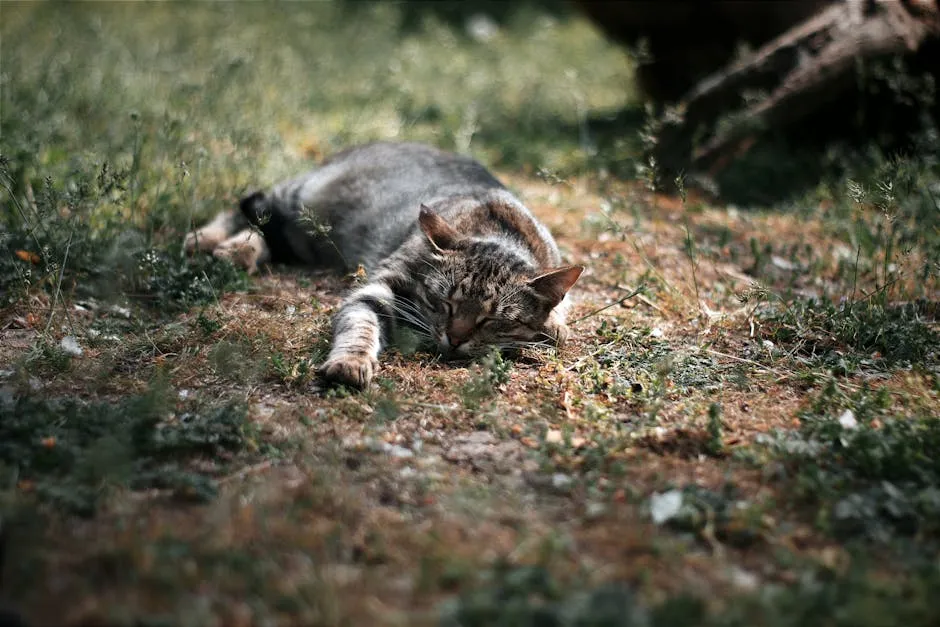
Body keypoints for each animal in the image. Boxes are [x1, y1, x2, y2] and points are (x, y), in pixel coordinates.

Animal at [185, 142, 580, 388]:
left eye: (492, 319)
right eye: (444, 302)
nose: (455, 339)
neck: (499, 230)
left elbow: (559, 322)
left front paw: (552, 324)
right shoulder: (377, 288)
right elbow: (360, 325)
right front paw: (352, 362)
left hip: (304, 237)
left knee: (268, 234)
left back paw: (239, 251)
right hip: (297, 197)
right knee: (248, 208)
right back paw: (210, 240)